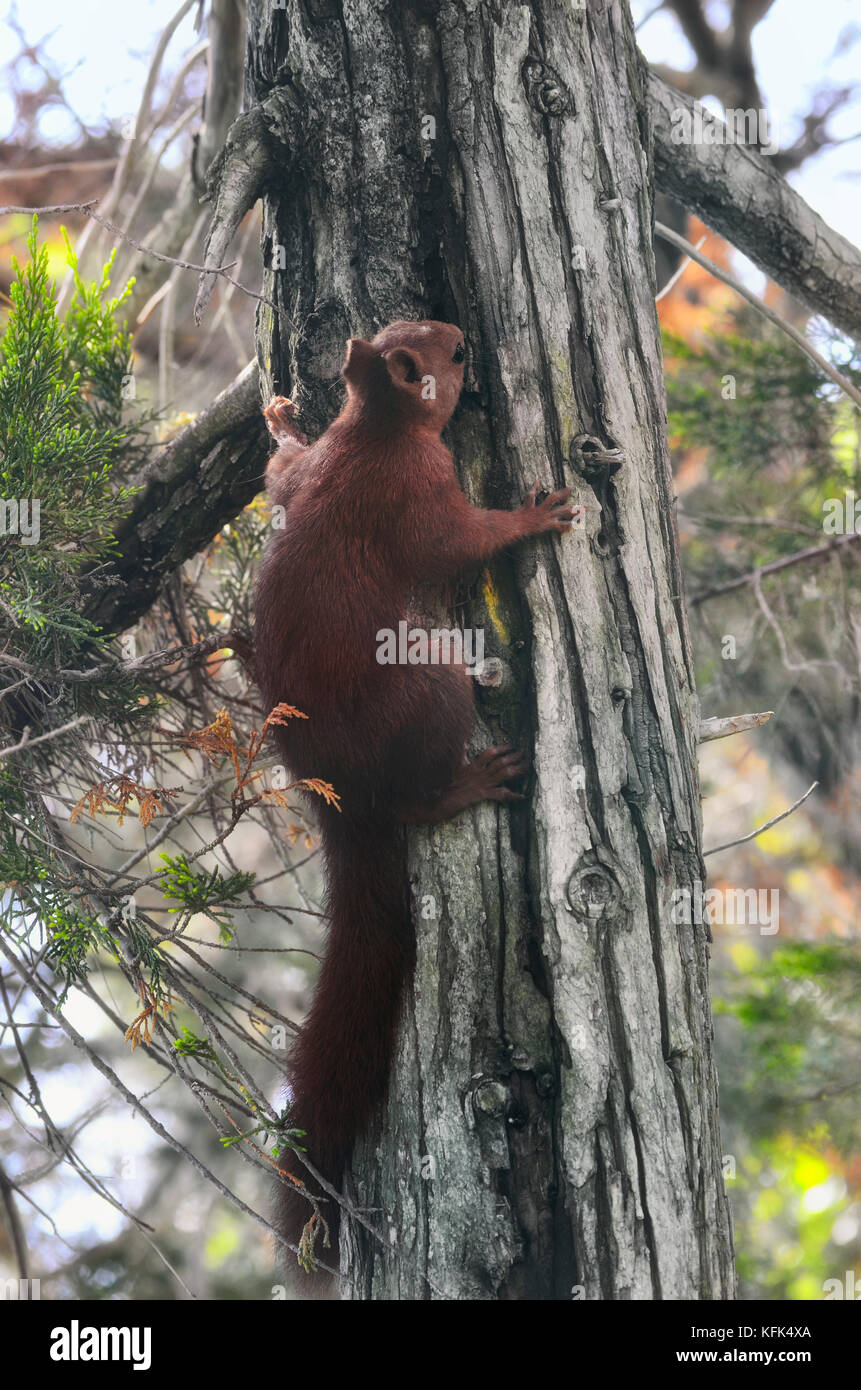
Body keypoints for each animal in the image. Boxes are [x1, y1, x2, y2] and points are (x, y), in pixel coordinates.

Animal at [254, 319, 574, 1279]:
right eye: (450, 354)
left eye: (416, 333)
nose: (466, 333)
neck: (374, 430)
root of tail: (337, 799)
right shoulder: (420, 494)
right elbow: (460, 541)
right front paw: (535, 515)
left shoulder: (320, 470)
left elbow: (283, 478)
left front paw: (281, 421)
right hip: (428, 691)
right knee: (414, 804)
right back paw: (468, 784)